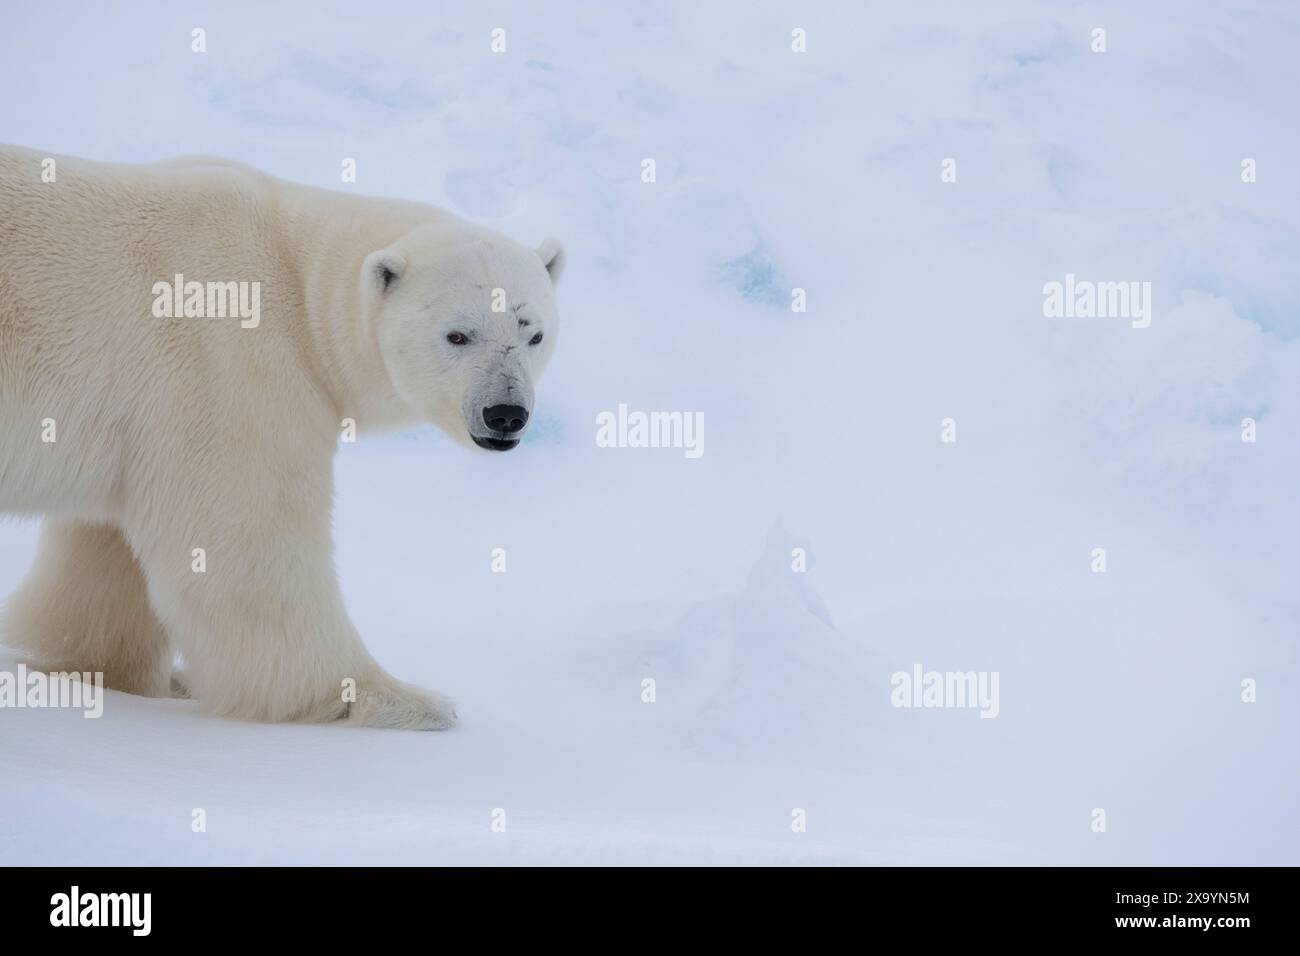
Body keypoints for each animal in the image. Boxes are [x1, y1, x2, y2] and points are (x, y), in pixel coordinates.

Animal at [0, 144, 565, 729]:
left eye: (534, 333)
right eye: (457, 335)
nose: (505, 414)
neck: (295, 272)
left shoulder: (139, 419)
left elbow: (106, 554)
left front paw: (126, 677)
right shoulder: (229, 362)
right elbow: (249, 543)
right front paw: (396, 700)